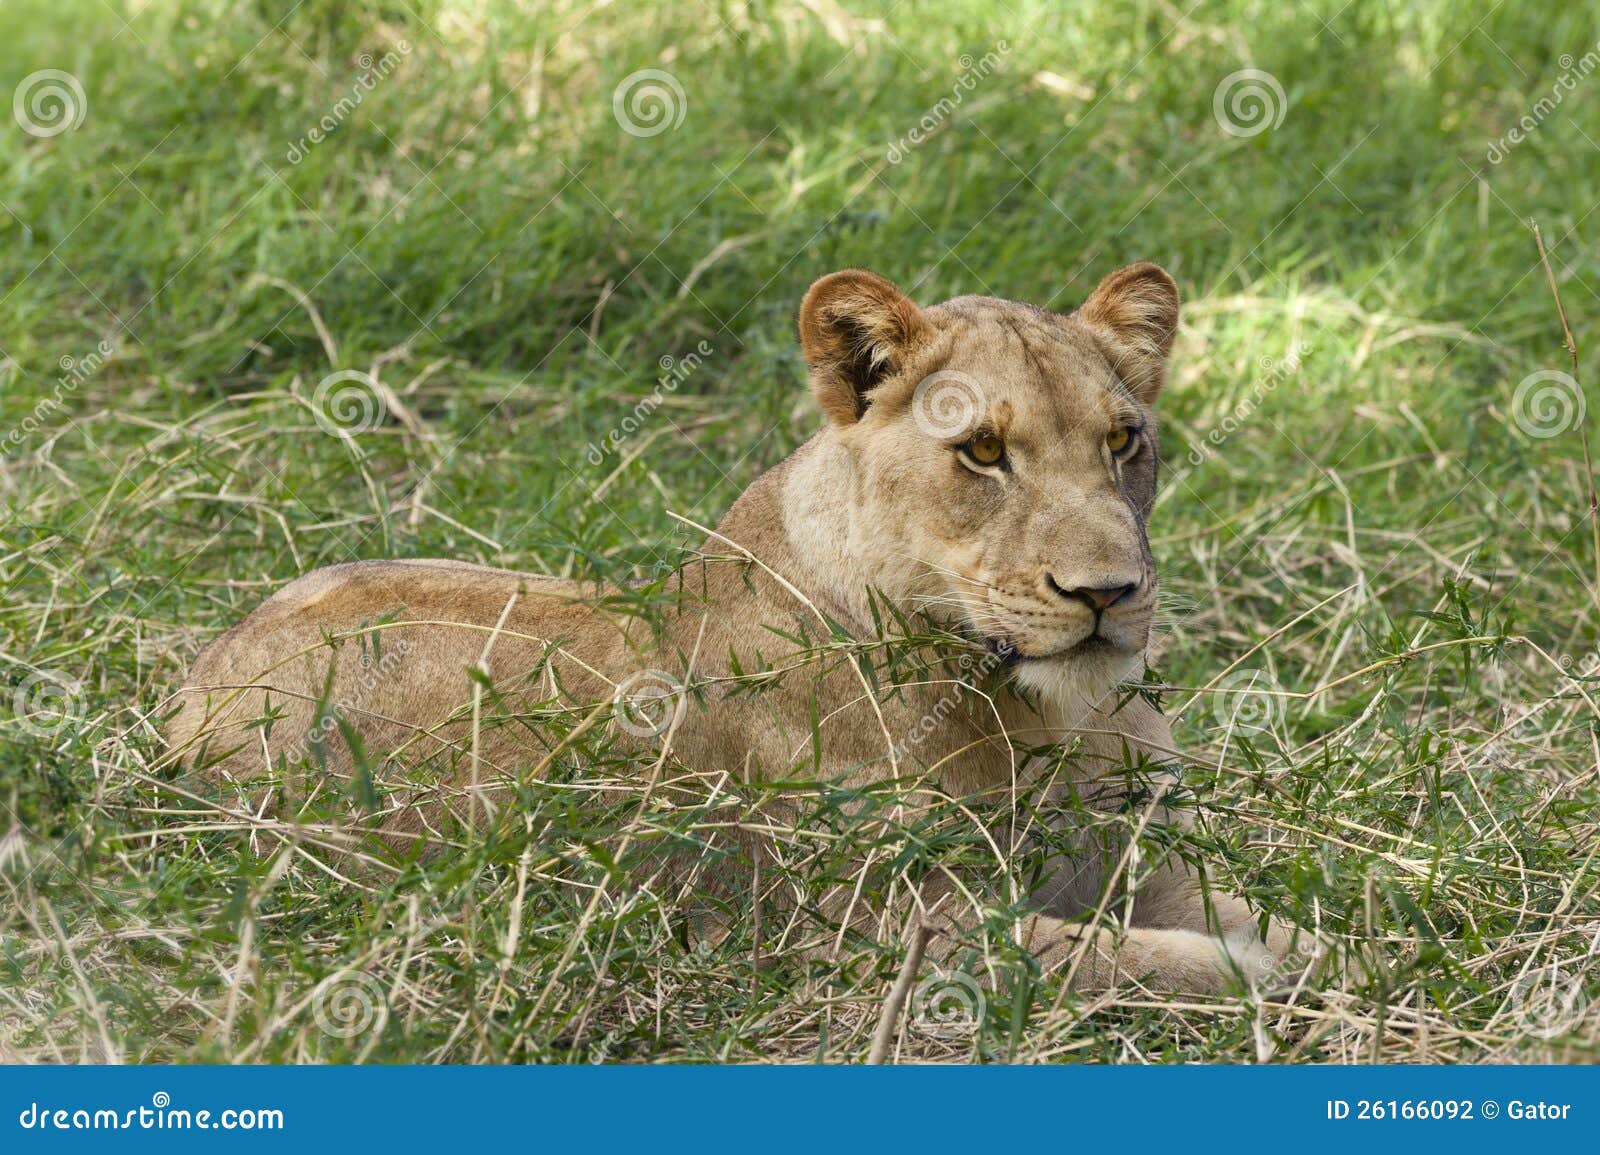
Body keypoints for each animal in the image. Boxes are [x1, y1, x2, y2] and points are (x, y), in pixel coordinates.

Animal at [164, 262, 1327, 994]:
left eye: (1124, 440)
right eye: (984, 453)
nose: (1109, 594)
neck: (1043, 715)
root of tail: (181, 702)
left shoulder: (1148, 853)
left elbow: (1298, 915)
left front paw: (1322, 946)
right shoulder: (891, 919)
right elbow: (1108, 955)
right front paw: (1251, 974)